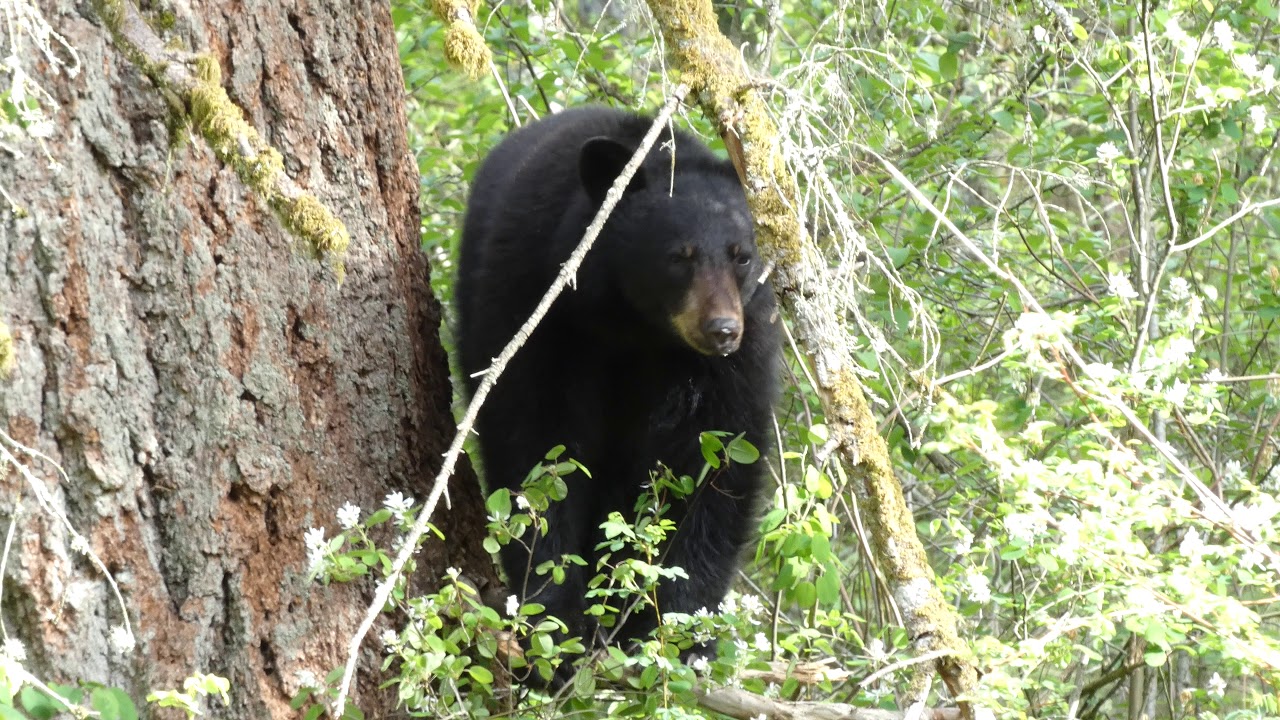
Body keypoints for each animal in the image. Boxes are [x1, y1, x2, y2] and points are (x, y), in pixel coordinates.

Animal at [455, 106, 781, 678]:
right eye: (680, 256)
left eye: (741, 256)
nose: (722, 331)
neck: (634, 326)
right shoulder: (538, 305)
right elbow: (537, 445)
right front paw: (557, 618)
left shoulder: (734, 360)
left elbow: (719, 462)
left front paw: (681, 632)